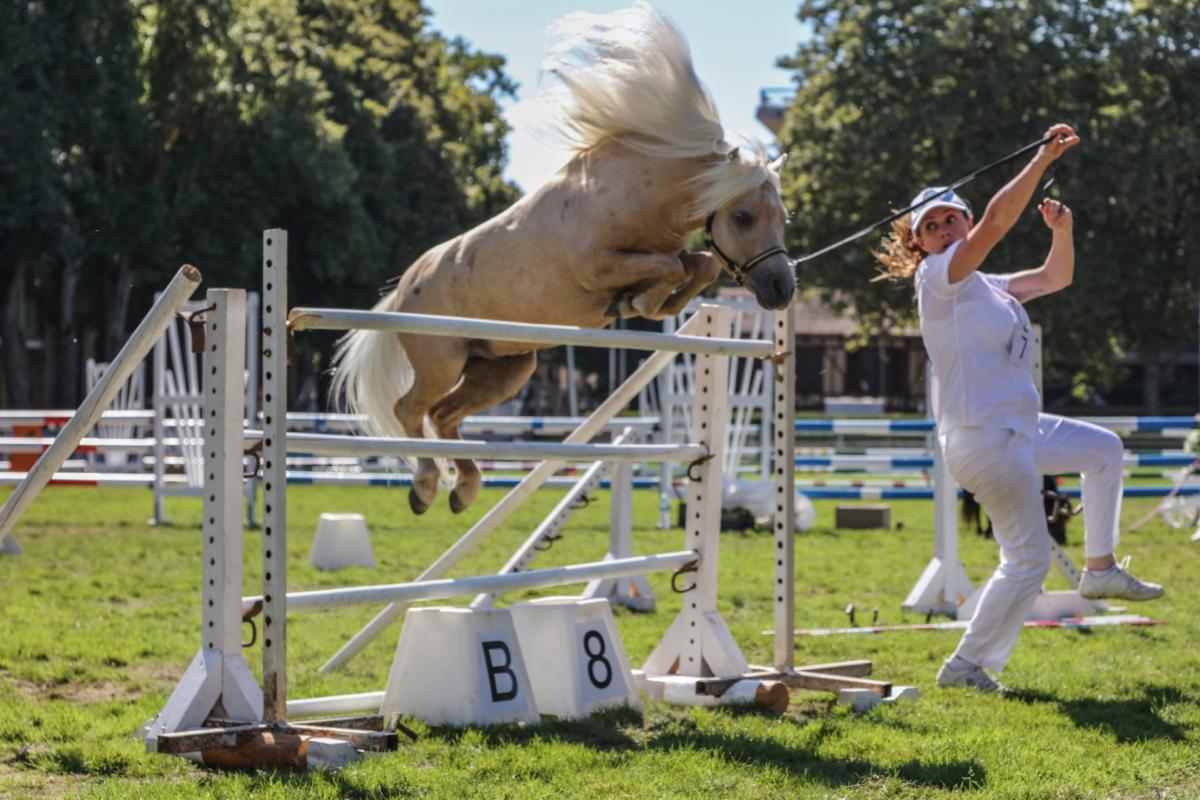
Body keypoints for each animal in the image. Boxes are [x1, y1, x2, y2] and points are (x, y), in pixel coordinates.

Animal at [330, 2, 796, 515]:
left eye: (784, 218)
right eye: (744, 216)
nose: (782, 289)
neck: (644, 193)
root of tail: (402, 292)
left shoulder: (667, 253)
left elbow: (698, 266)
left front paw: (652, 301)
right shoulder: (598, 266)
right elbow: (671, 268)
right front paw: (637, 302)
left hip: (505, 369)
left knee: (443, 414)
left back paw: (465, 488)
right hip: (442, 363)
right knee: (410, 410)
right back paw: (427, 485)